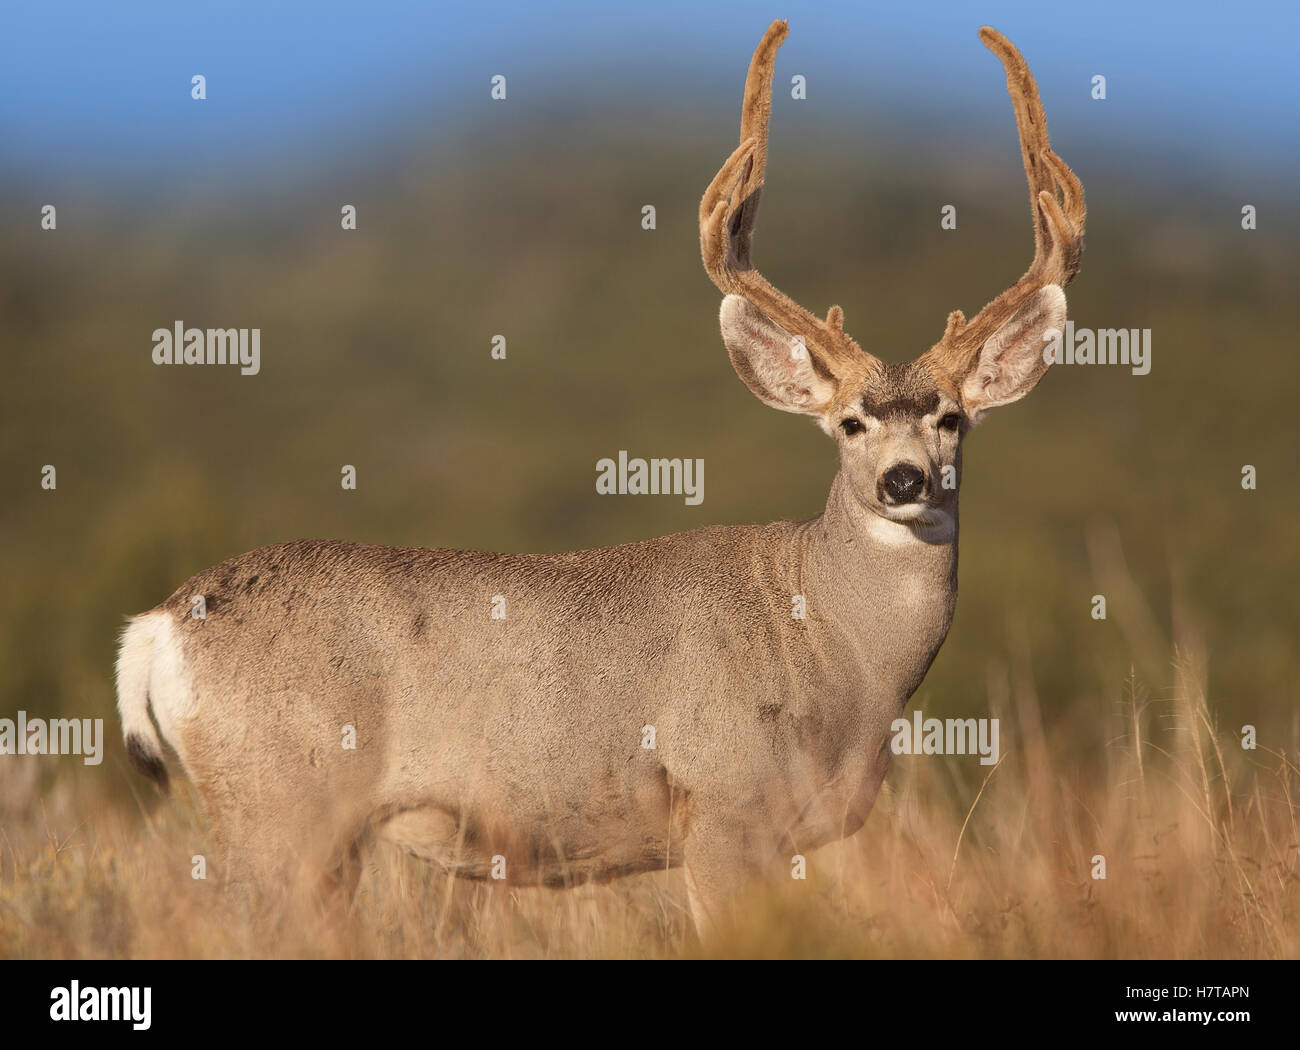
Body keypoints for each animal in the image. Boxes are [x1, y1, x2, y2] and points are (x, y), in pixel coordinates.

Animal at [115, 20, 1084, 935]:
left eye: (951, 419)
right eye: (850, 423)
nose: (906, 481)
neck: (834, 651)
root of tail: (157, 626)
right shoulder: (723, 806)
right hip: (280, 809)